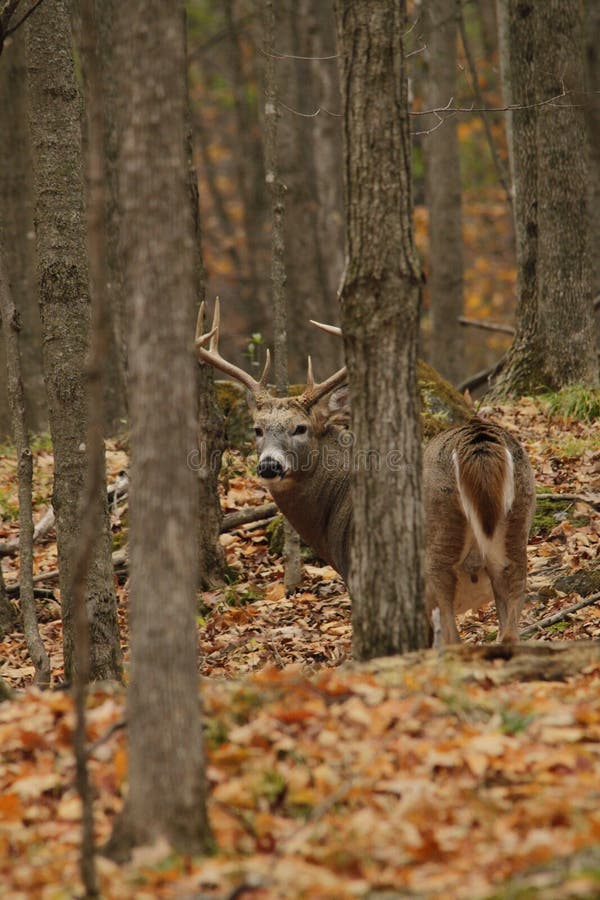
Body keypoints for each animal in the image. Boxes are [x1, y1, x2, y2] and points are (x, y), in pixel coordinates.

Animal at [196, 300, 536, 647]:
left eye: (300, 428)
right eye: (257, 429)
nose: (269, 465)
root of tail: (477, 442)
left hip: (437, 552)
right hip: (515, 535)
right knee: (510, 630)